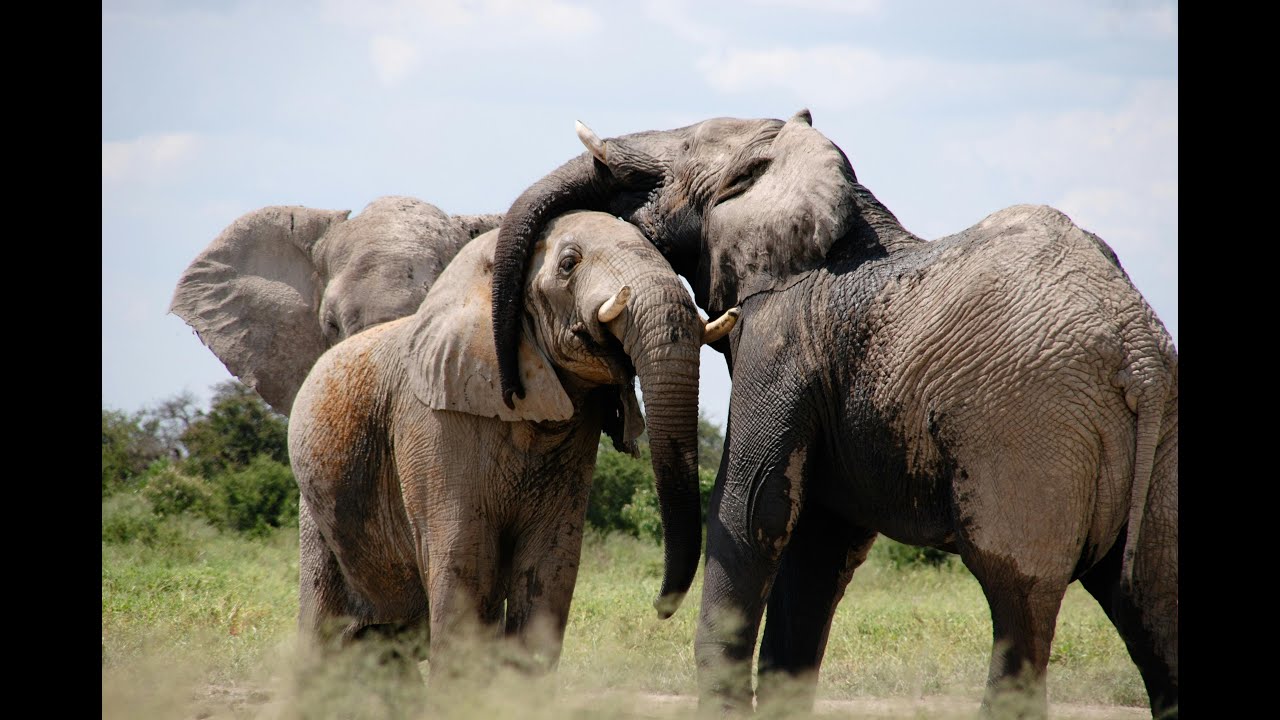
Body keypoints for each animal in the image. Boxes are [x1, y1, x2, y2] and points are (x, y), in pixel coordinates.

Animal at [287, 210, 737, 679]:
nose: (658, 606)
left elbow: (550, 566)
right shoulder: (432, 423)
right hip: (316, 509)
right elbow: (464, 561)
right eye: (569, 264)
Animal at [485, 110, 1178, 718]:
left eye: (675, 157)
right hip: (1161, 438)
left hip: (1029, 430)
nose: (513, 388)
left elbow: (753, 509)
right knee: (1150, 605)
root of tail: (1137, 348)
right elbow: (817, 543)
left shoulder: (782, 334)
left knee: (1019, 602)